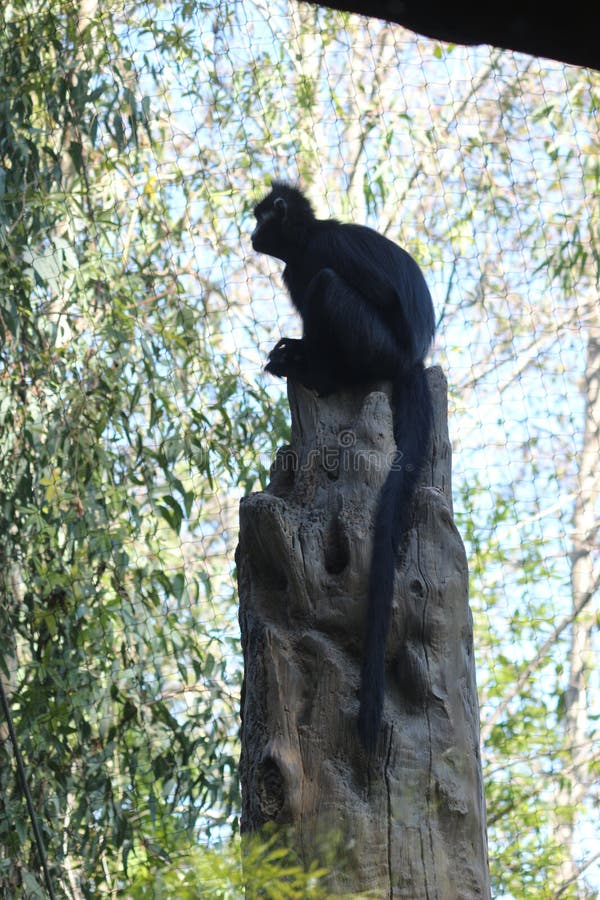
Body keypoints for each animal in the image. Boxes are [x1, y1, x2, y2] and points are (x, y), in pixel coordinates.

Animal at [251, 181, 435, 753]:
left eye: (261, 218)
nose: (252, 235)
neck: (307, 238)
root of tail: (411, 361)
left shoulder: (319, 253)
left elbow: (363, 290)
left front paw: (300, 356)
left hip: (374, 343)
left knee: (329, 287)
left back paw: (323, 371)